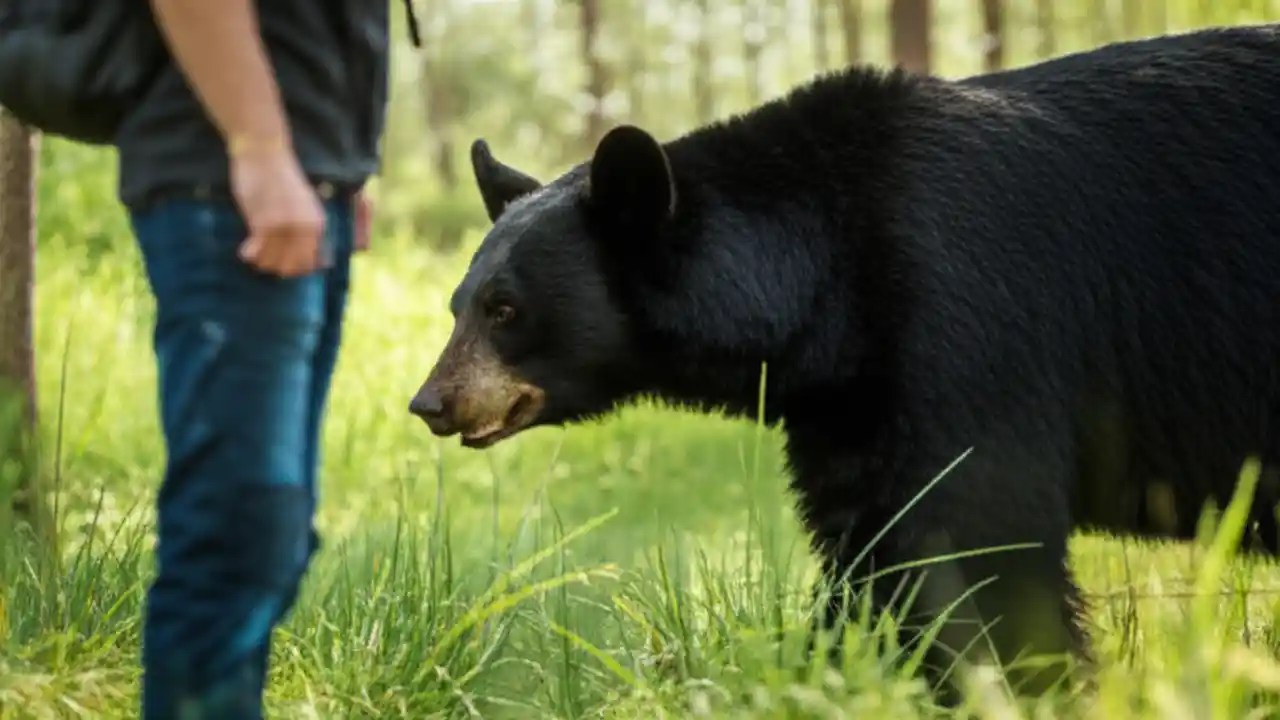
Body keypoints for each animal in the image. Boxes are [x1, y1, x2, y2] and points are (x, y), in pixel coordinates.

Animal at [409, 23, 1280, 699]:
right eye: (458, 304)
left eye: (506, 309)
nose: (431, 402)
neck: (831, 295)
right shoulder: (853, 408)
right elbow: (873, 548)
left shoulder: (971, 322)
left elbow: (984, 535)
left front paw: (1025, 686)